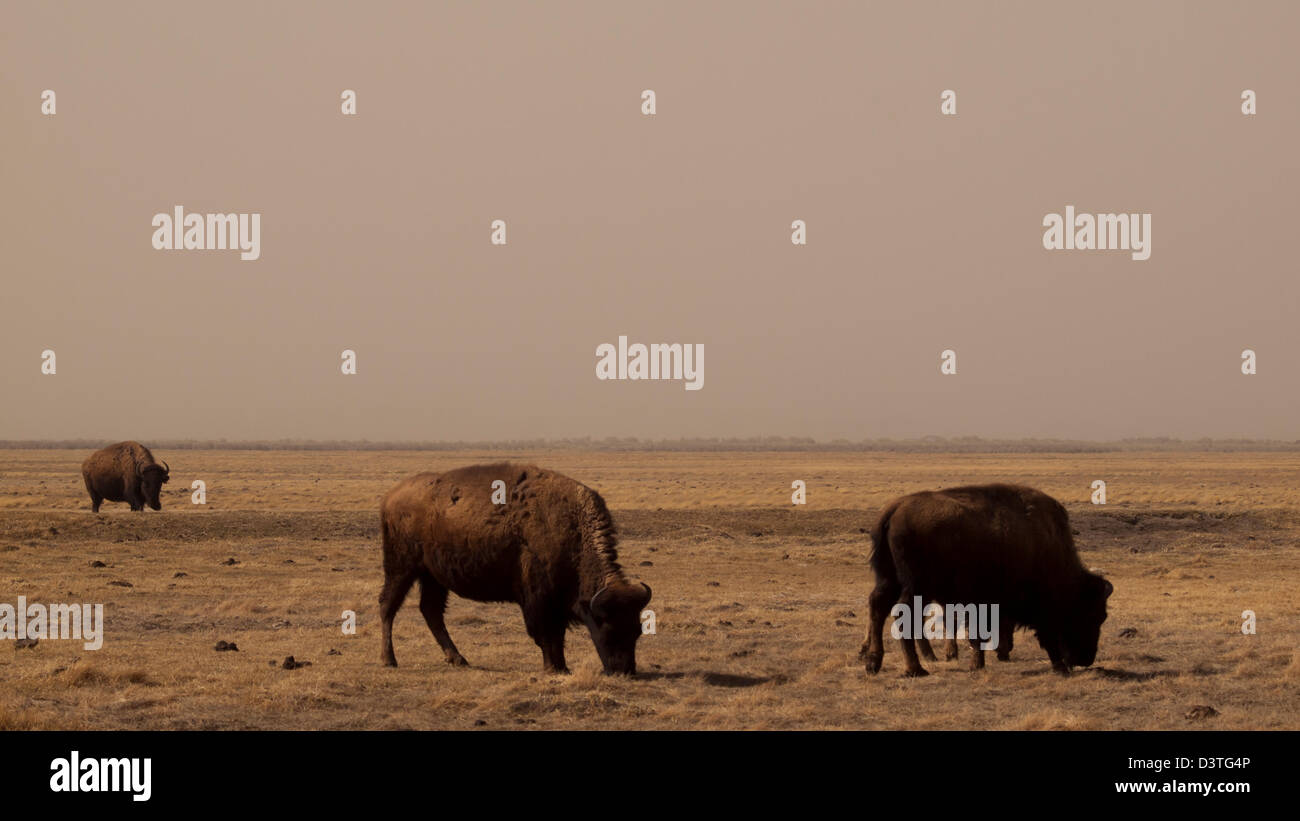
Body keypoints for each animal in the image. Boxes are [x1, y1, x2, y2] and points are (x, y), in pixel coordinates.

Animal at [379, 463, 652, 675]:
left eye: (637, 630)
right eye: (607, 628)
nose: (625, 670)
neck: (572, 529)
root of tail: (390, 496)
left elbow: (557, 634)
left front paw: (562, 667)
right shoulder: (538, 600)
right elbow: (547, 635)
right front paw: (554, 668)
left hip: (433, 576)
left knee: (431, 611)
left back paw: (458, 659)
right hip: (401, 568)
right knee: (388, 605)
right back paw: (389, 660)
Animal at [861, 483, 1112, 676]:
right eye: (1092, 615)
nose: (1085, 658)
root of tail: (894, 510)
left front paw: (978, 664)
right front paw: (1059, 667)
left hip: (889, 579)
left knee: (878, 607)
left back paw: (873, 663)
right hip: (916, 587)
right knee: (903, 614)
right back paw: (916, 669)